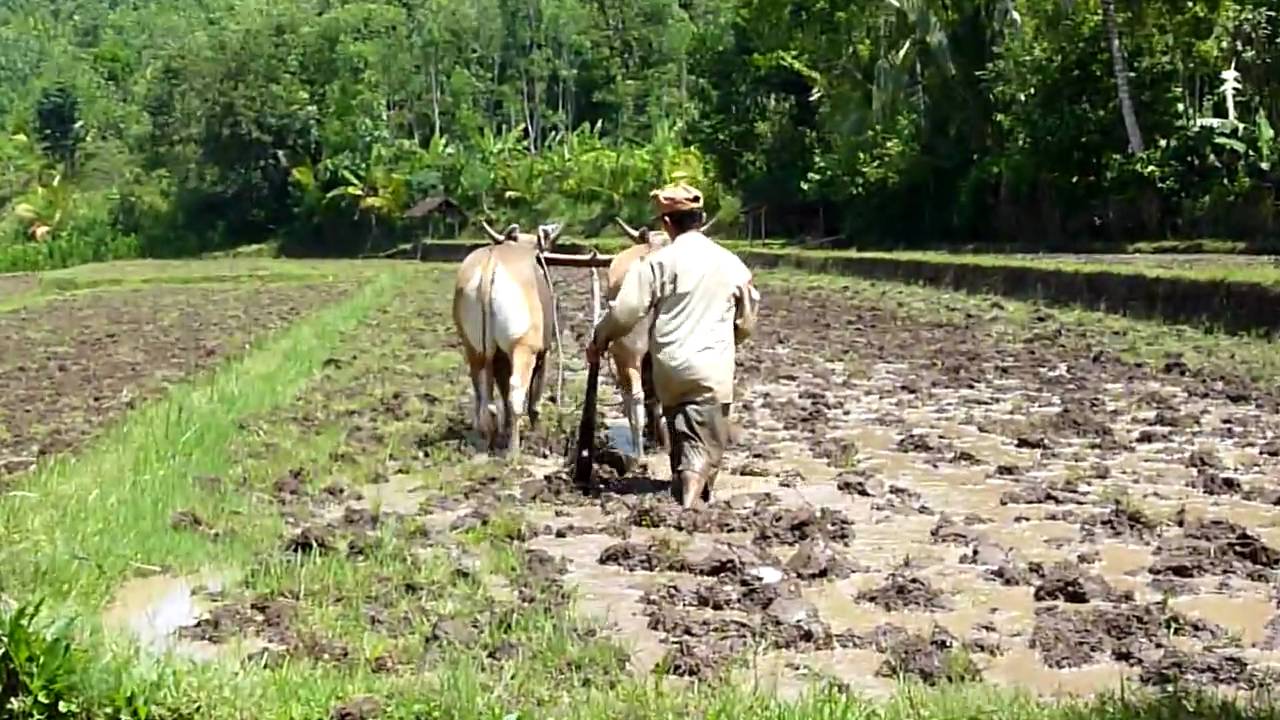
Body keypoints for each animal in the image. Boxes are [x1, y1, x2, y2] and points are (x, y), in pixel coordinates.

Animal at [453, 221, 563, 455]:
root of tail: (490, 263)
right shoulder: (543, 352)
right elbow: (534, 400)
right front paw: (537, 435)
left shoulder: (500, 356)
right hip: (523, 348)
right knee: (516, 393)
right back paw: (514, 450)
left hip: (474, 348)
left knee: (484, 396)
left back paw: (486, 438)